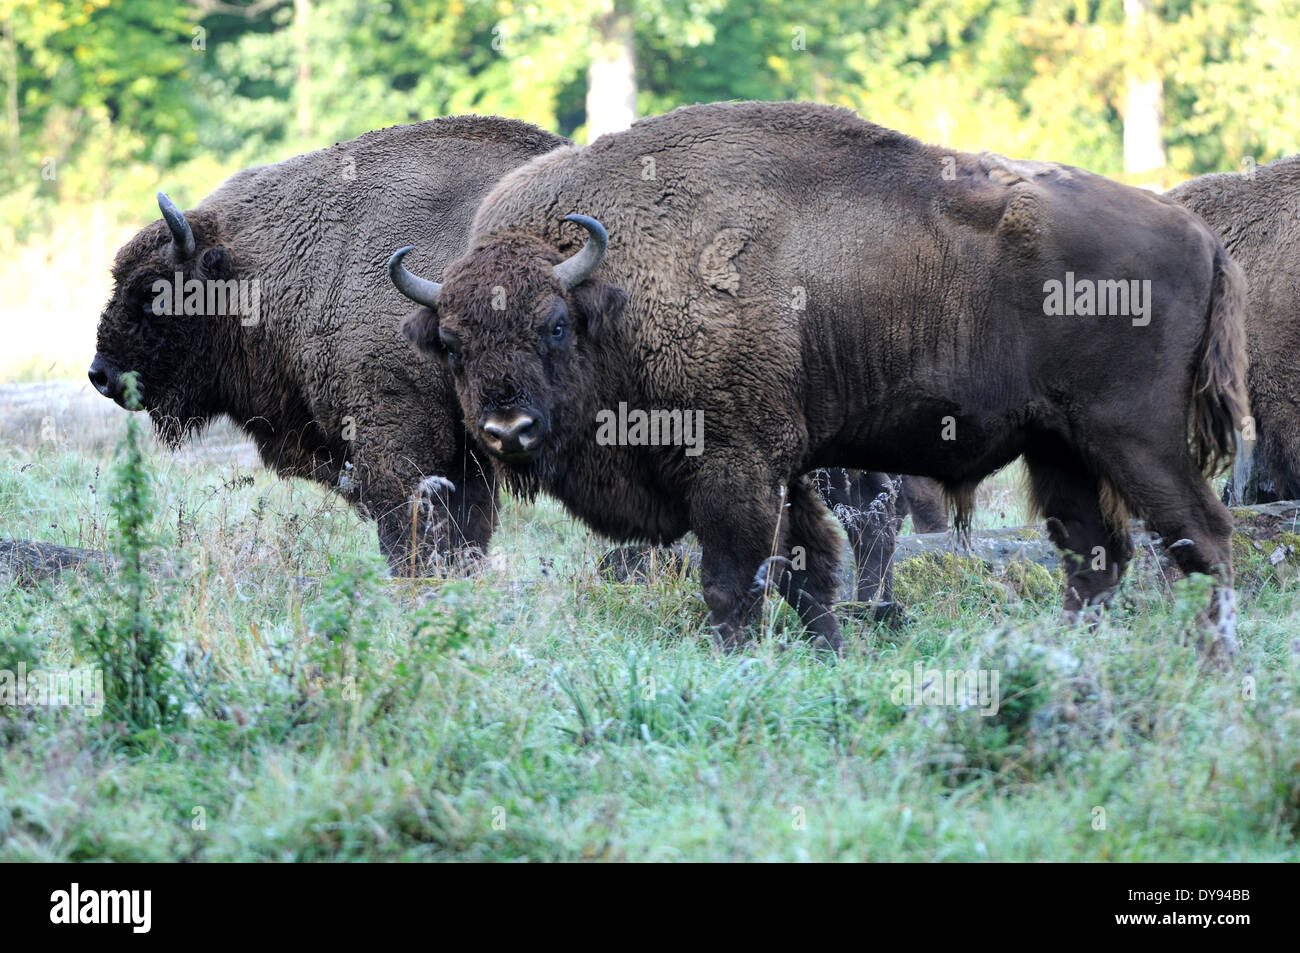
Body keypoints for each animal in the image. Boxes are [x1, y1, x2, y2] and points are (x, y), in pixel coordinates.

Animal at [89, 116, 568, 574]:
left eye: (153, 291)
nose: (101, 374)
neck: (257, 269)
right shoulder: (463, 449)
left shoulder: (397, 427)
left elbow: (410, 524)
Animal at [389, 101, 1248, 662]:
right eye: (452, 343)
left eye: (553, 326)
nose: (506, 429)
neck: (616, 287)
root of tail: (1197, 233)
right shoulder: (789, 468)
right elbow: (810, 570)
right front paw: (830, 654)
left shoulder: (733, 464)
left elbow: (735, 577)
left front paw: (731, 661)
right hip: (1059, 446)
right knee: (1094, 554)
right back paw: (1064, 657)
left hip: (1135, 437)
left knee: (1202, 539)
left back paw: (1214, 661)